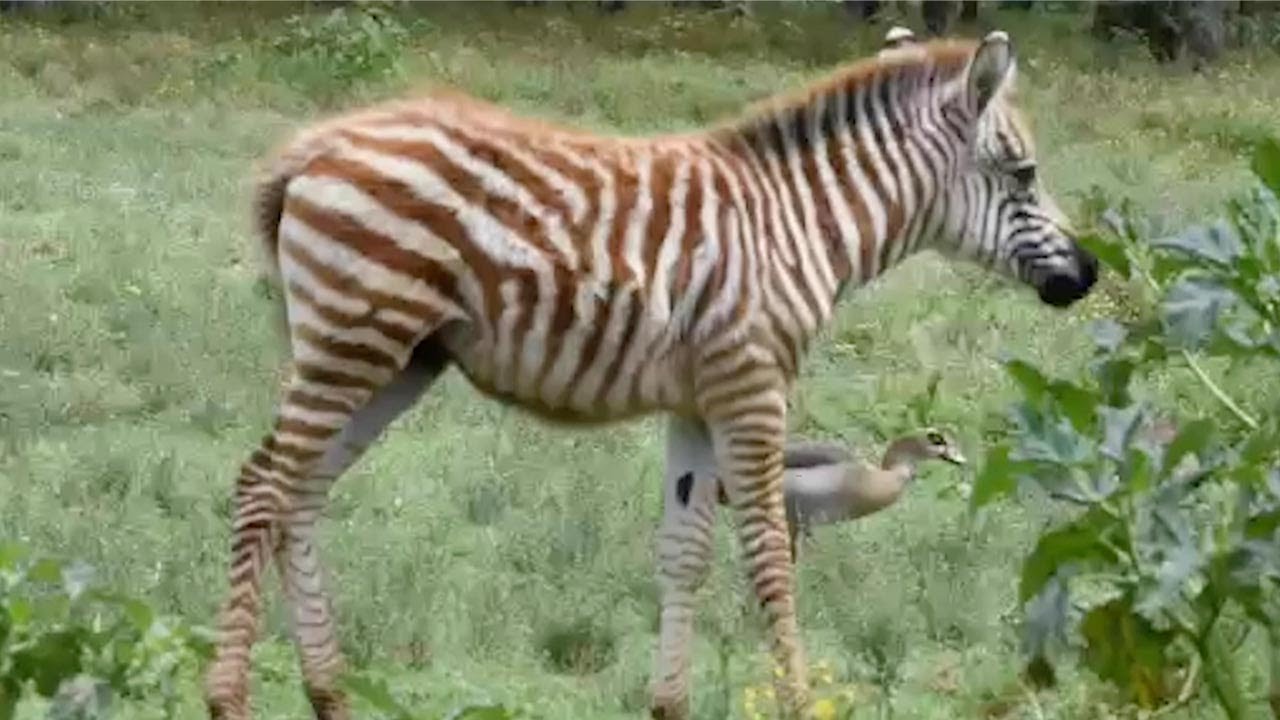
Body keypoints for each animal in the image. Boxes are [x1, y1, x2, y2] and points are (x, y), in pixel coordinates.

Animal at [203, 27, 1097, 720]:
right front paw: (800, 700)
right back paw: (229, 698)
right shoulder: (752, 389)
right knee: (261, 488)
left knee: (299, 495)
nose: (1087, 275)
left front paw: (670, 702)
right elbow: (768, 556)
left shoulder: (697, 403)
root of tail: (315, 145)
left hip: (393, 361)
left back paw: (328, 694)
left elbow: (683, 554)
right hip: (353, 340)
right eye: (1023, 173)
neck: (798, 226)